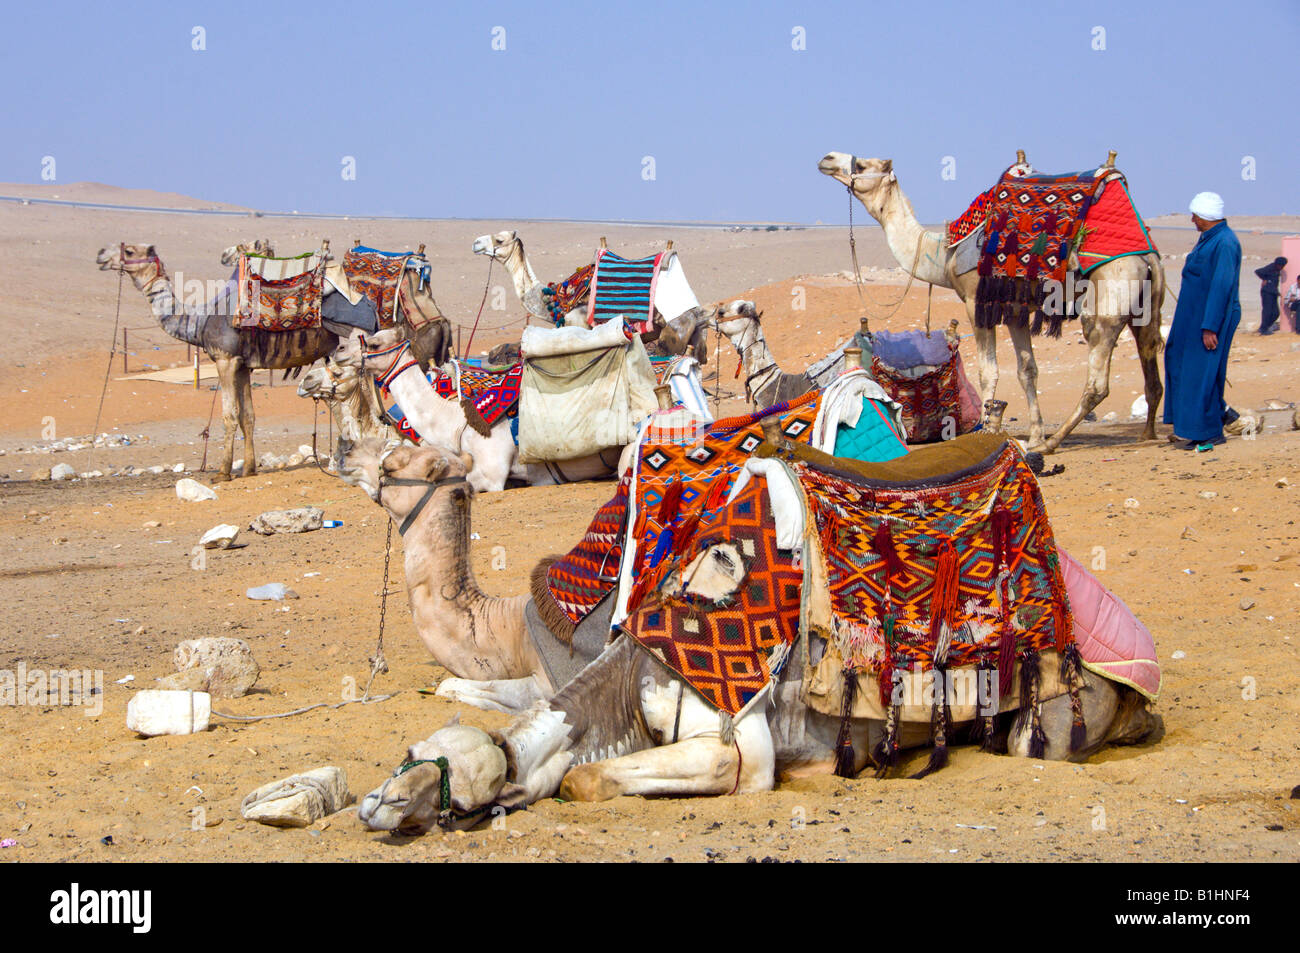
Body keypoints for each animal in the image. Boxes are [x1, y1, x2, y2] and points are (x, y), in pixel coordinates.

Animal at [354, 442, 1164, 830]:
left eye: (443, 783)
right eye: (409, 754)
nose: (376, 803)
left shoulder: (737, 740)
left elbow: (585, 777)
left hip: (1057, 707)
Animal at [817, 153, 1165, 453]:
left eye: (863, 164)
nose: (828, 158)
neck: (944, 253)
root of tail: (1148, 257)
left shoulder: (976, 302)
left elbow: (988, 371)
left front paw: (989, 428)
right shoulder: (1014, 311)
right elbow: (1028, 370)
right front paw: (1035, 434)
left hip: (1110, 295)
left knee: (1097, 381)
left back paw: (1055, 443)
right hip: (1143, 306)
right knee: (1150, 363)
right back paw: (1147, 433)